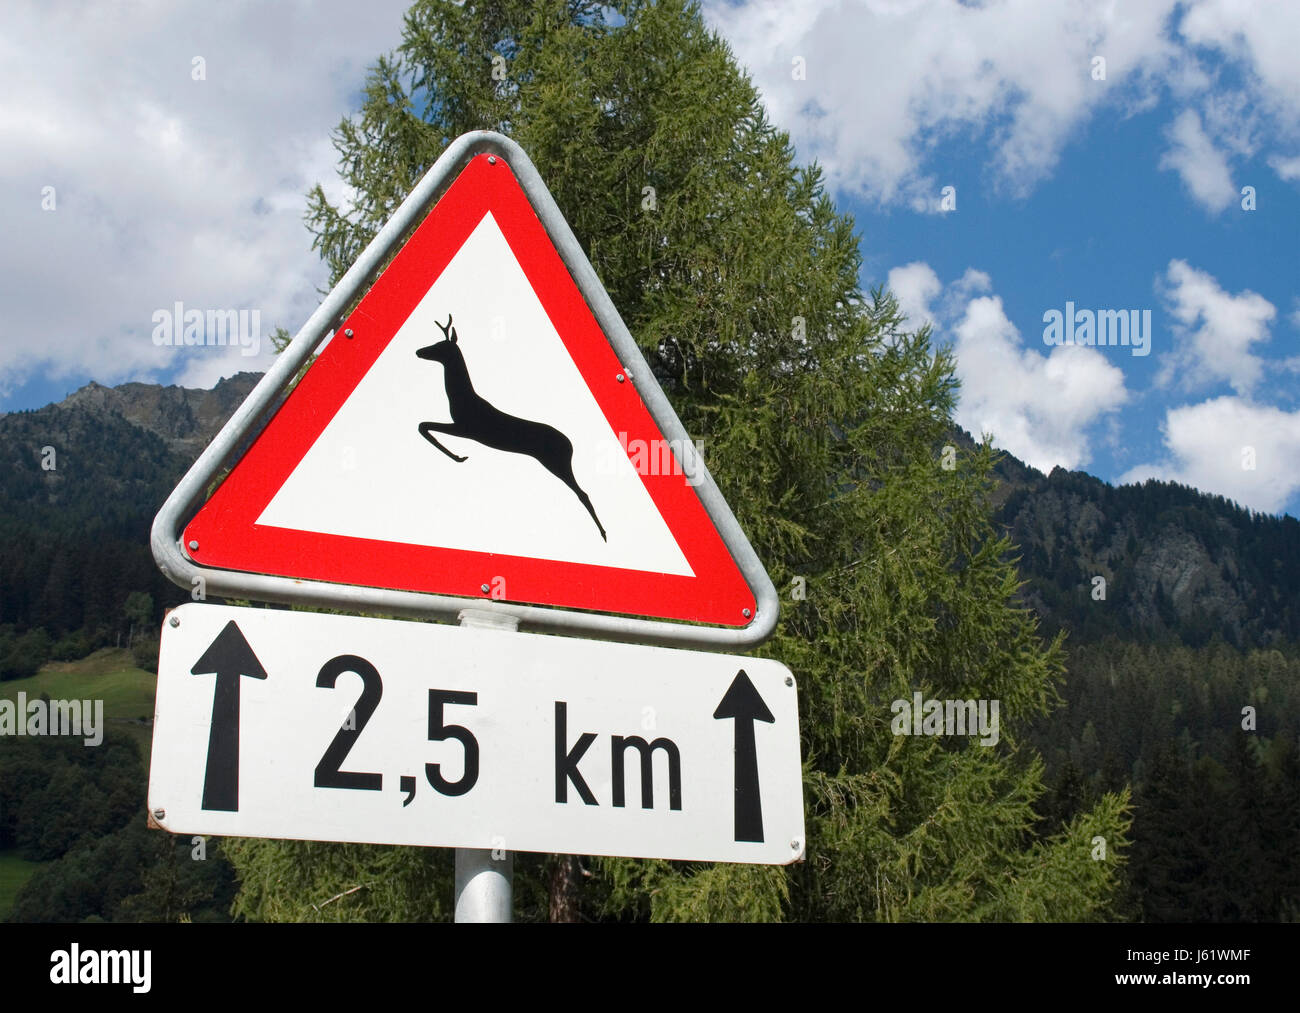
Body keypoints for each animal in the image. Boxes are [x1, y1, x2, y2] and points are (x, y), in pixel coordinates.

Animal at [415, 314, 607, 541]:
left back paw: (604, 534)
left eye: (439, 346)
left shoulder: (466, 428)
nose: (419, 351)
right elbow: (423, 426)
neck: (462, 399)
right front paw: (460, 457)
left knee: (582, 493)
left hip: (556, 463)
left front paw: (459, 457)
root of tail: (571, 446)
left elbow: (423, 426)